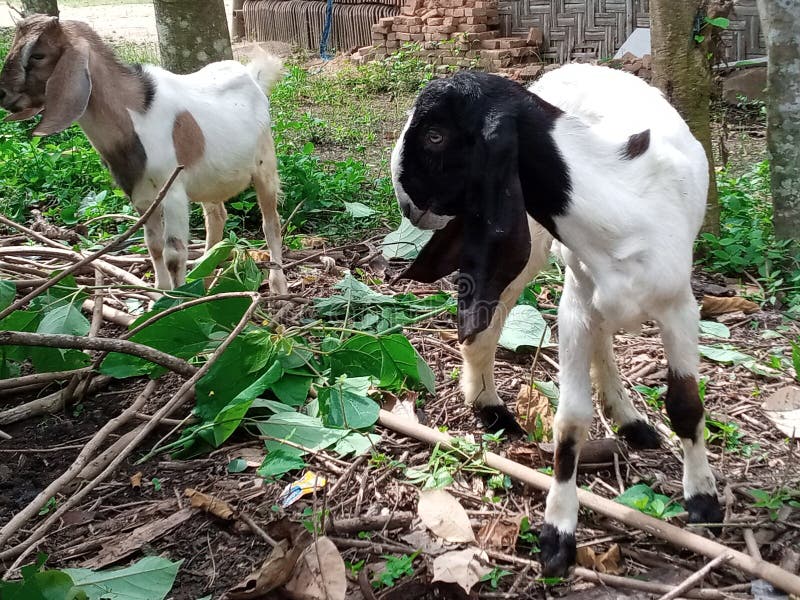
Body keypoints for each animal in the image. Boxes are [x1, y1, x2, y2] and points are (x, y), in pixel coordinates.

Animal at [0, 15, 288, 294]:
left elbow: (174, 253)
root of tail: (253, 76)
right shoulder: (140, 195)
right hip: (208, 181)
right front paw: (159, 295)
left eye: (38, 55)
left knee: (270, 223)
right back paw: (204, 283)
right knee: (217, 218)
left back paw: (278, 286)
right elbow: (154, 245)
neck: (135, 117)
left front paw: (177, 301)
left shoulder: (173, 191)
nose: (3, 95)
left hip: (265, 164)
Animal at [391, 63, 722, 577]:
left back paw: (628, 420)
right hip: (540, 249)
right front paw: (557, 532)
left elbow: (685, 404)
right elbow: (569, 422)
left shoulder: (680, 308)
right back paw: (489, 406)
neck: (620, 205)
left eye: (435, 134)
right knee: (491, 326)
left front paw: (702, 498)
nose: (405, 199)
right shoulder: (575, 309)